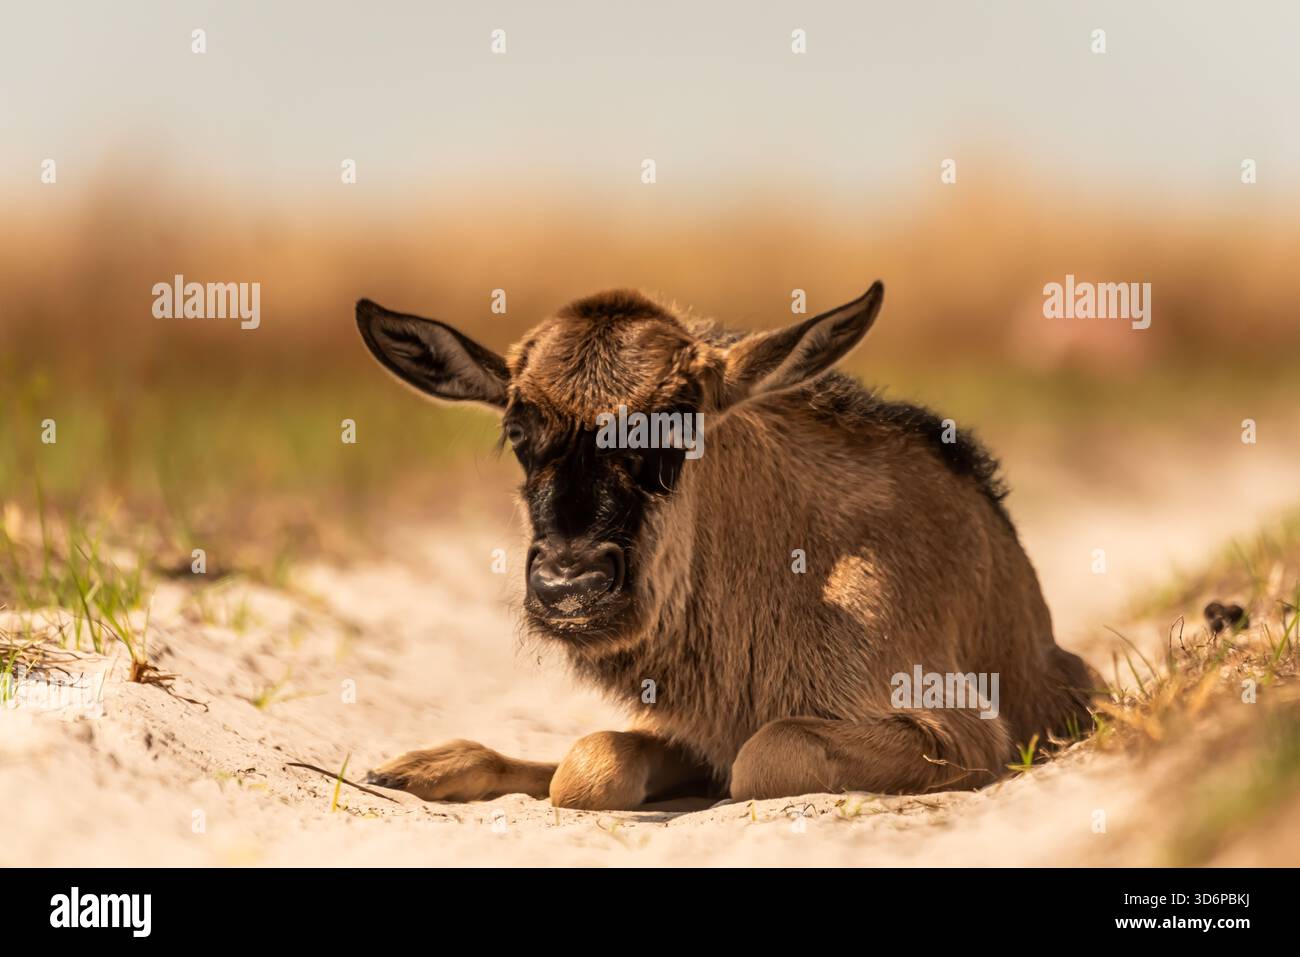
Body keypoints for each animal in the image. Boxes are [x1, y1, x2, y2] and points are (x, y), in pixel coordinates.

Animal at [355, 283, 1094, 810]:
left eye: (679, 421)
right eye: (516, 429)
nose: (570, 588)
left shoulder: (965, 733)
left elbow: (769, 751)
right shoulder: (689, 731)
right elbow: (588, 762)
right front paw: (417, 768)